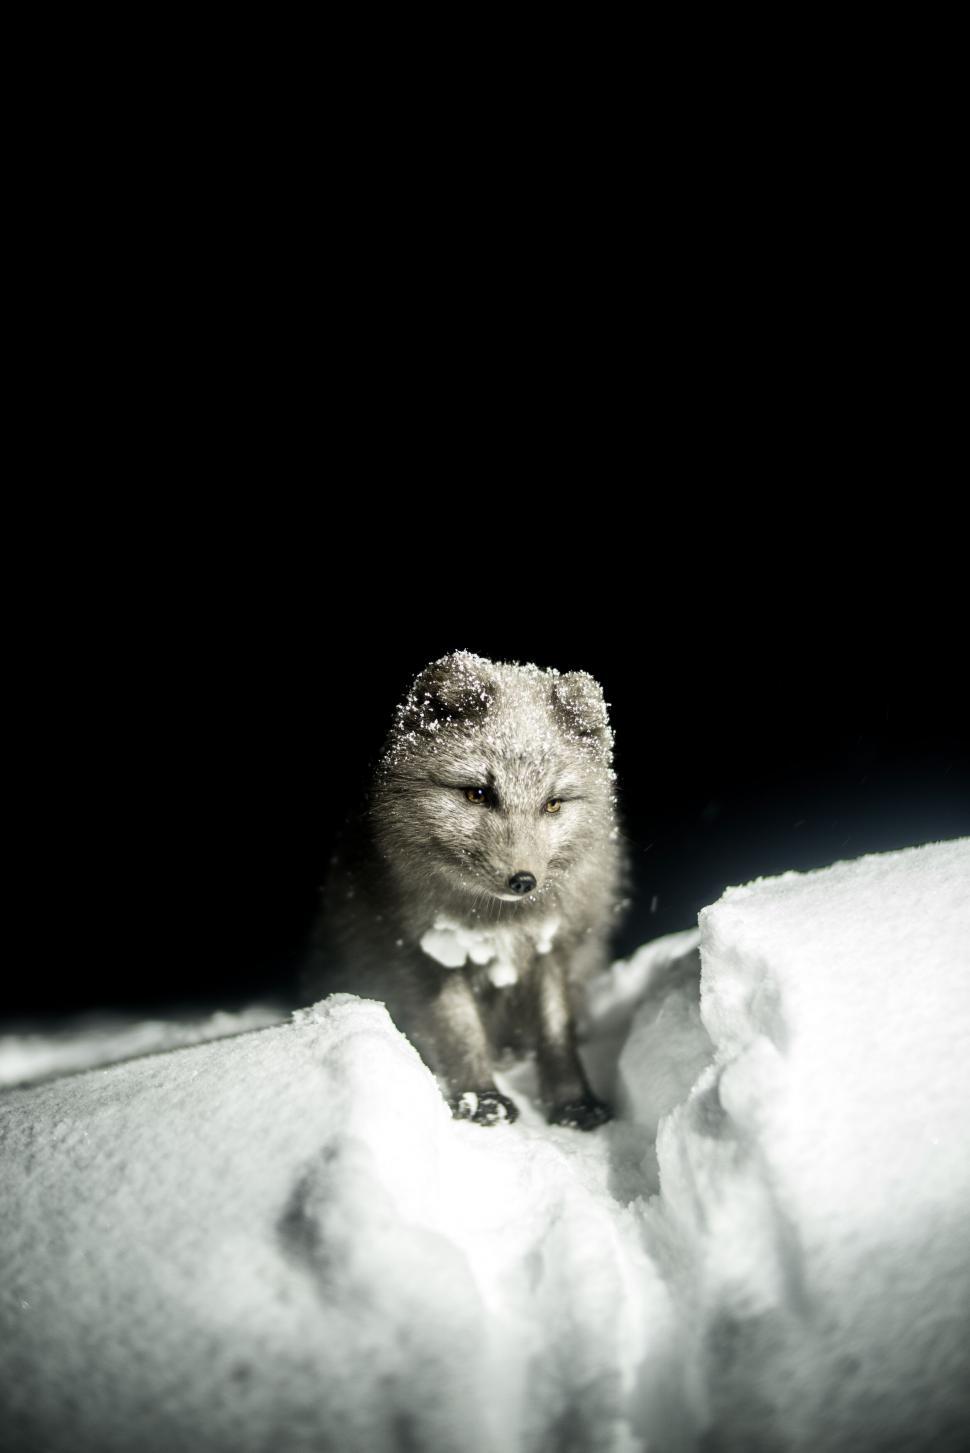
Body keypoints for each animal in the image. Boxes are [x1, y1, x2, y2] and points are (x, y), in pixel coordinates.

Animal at [301, 650, 631, 1129]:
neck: (498, 922)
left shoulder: (554, 946)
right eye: (477, 793)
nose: (523, 881)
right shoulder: (424, 952)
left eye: (553, 803)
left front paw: (574, 1102)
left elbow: (557, 1030)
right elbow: (459, 1029)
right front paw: (480, 1098)